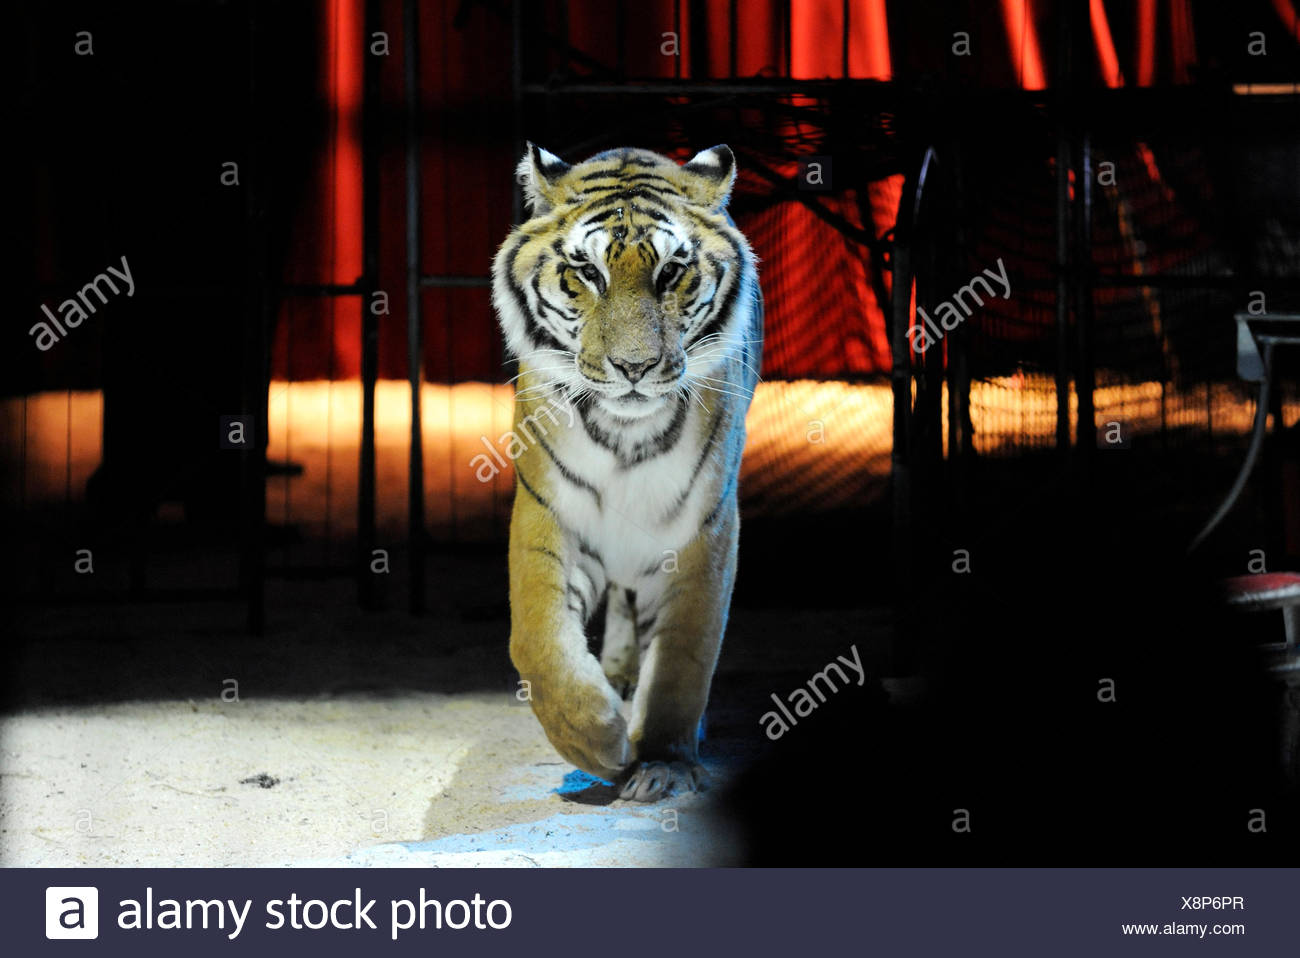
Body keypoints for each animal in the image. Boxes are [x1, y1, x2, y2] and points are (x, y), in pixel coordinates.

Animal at [491, 143, 763, 802]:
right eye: (587, 273)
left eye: (672, 273)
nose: (634, 367)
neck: (625, 435)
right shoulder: (547, 511)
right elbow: (539, 641)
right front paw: (600, 739)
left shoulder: (704, 530)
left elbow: (684, 658)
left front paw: (663, 762)